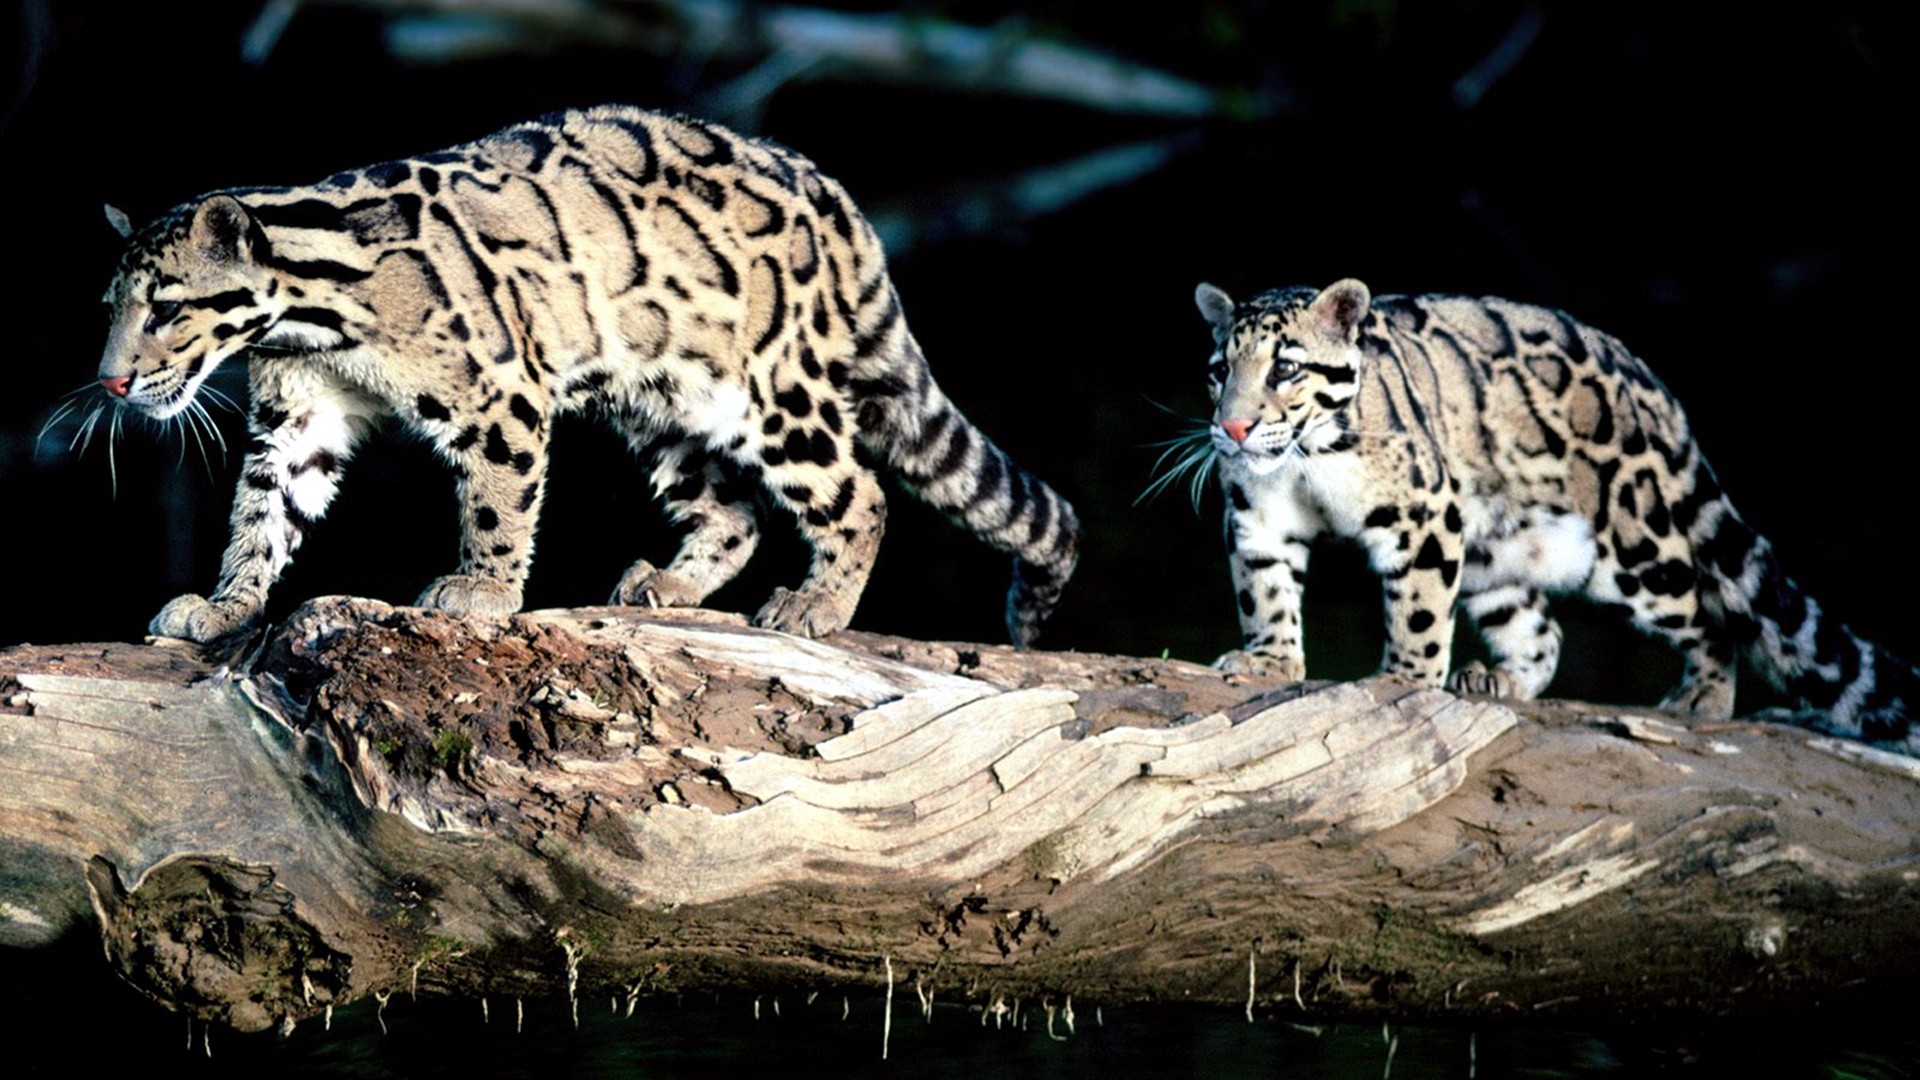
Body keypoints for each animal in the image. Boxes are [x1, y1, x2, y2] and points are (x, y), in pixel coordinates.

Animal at [92, 105, 1080, 648]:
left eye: (166, 308)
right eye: (111, 305)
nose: (110, 385)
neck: (312, 312)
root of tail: (842, 207)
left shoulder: (500, 391)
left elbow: (497, 504)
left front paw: (483, 593)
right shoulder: (298, 417)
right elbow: (262, 516)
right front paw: (227, 606)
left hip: (775, 389)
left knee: (858, 492)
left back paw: (818, 604)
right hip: (666, 401)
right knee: (735, 511)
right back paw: (671, 586)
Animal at [1169, 277, 1917, 752]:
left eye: (1286, 368)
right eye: (1218, 369)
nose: (1231, 429)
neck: (1303, 461)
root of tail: (1652, 384)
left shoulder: (1426, 513)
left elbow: (1418, 613)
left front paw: (1403, 682)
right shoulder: (1257, 514)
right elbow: (1264, 589)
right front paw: (1268, 661)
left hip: (1633, 550)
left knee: (1708, 612)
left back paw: (1700, 697)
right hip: (1494, 553)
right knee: (1541, 631)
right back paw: (1496, 677)